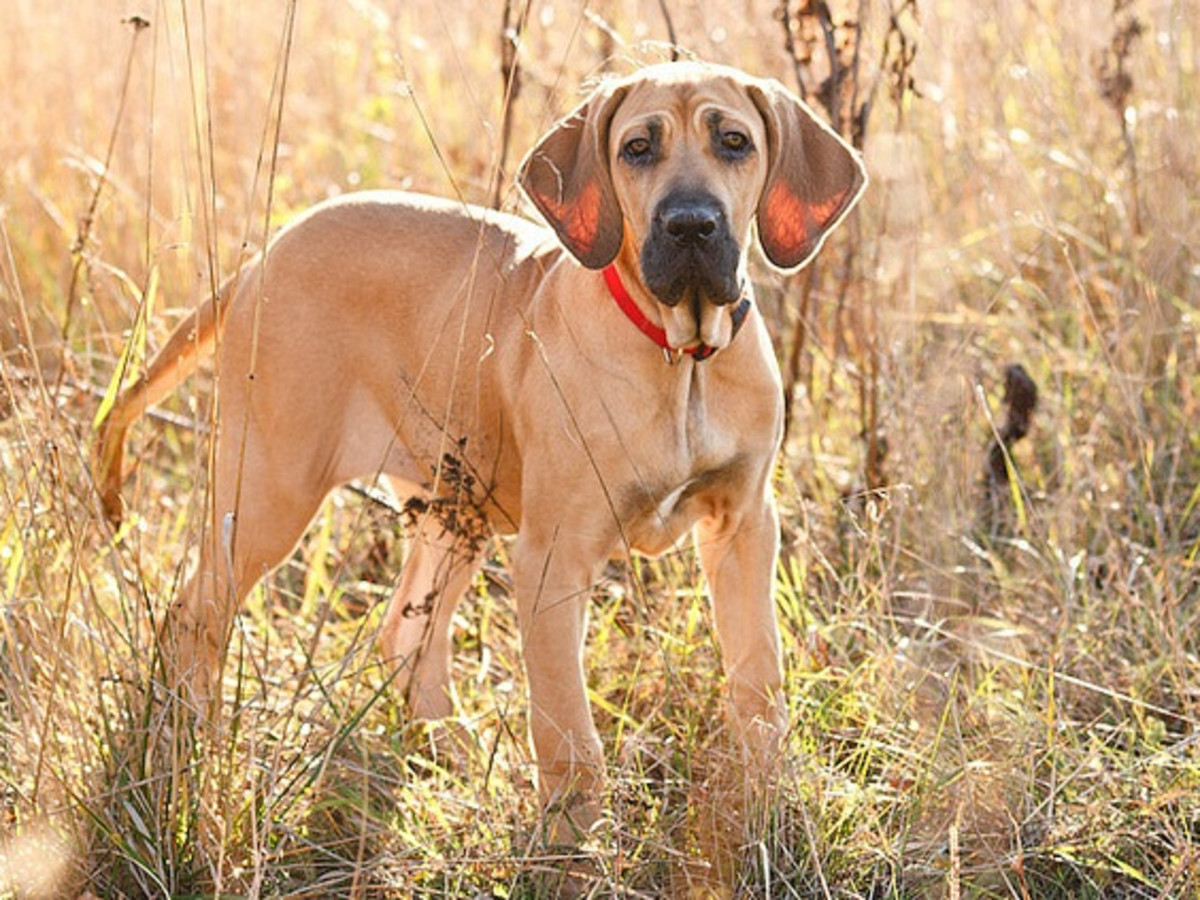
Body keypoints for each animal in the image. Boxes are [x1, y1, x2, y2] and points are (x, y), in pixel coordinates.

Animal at [93, 60, 866, 839]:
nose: (691, 224)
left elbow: (758, 676)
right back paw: (187, 746)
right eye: (638, 148)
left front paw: (768, 796)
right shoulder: (554, 556)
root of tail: (259, 262)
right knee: (193, 616)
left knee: (407, 637)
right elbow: (566, 725)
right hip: (269, 493)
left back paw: (449, 749)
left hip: (452, 513)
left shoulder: (745, 527)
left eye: (735, 141)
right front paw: (572, 837)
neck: (680, 358)